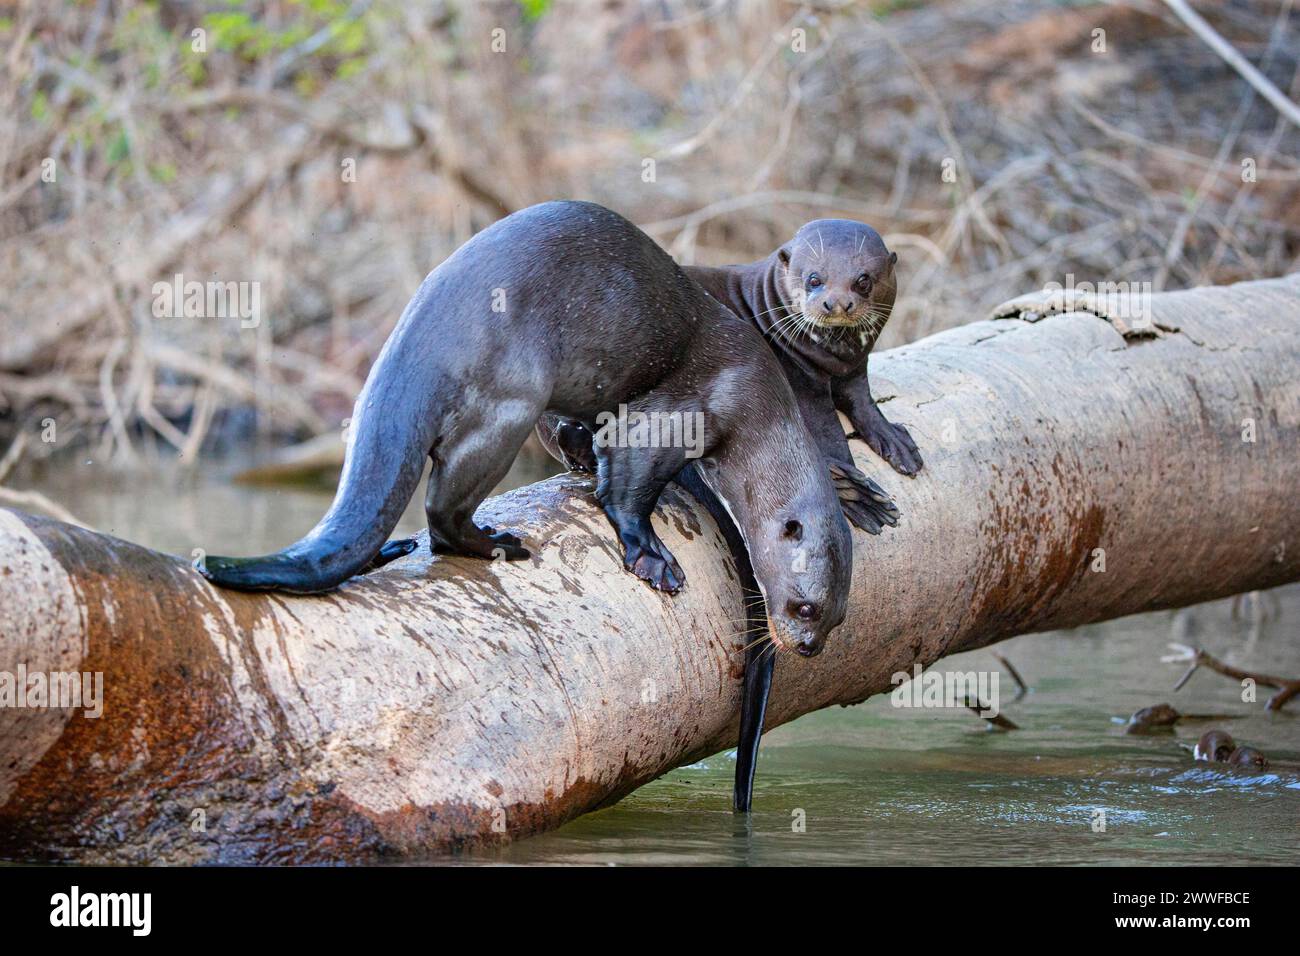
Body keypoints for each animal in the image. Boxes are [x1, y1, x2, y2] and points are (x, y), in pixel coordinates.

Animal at [197, 201, 858, 656]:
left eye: (834, 618)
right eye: (804, 607)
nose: (806, 648)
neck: (758, 403)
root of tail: (422, 335)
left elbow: (586, 441)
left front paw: (585, 459)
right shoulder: (688, 407)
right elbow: (626, 482)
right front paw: (649, 554)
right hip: (509, 400)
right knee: (441, 514)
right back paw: (492, 542)